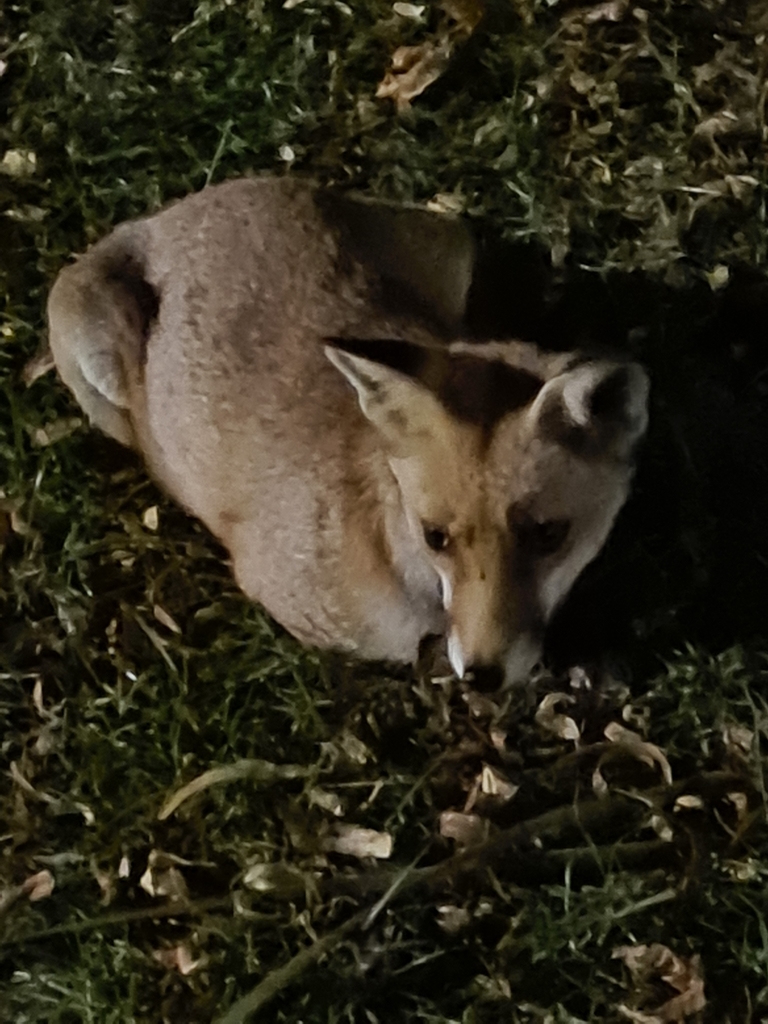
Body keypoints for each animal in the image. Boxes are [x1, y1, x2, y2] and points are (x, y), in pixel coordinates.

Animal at [47, 176, 649, 685]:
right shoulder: (283, 593)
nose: (481, 677)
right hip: (98, 362)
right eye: (436, 537)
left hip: (453, 246)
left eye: (549, 535)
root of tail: (172, 211)